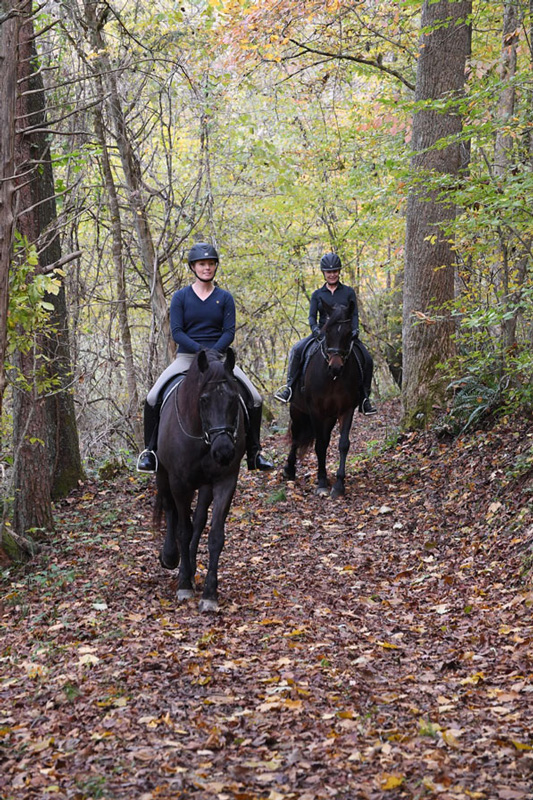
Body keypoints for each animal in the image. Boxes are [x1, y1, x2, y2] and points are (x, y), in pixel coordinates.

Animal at [154, 348, 246, 612]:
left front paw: (209, 593)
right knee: (170, 510)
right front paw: (184, 583)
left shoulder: (226, 480)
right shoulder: (179, 482)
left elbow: (214, 535)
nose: (224, 452)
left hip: (205, 485)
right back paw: (171, 557)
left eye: (234, 399)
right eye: (203, 400)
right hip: (164, 476)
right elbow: (182, 530)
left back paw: (191, 567)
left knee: (199, 520)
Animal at [282, 300, 365, 498]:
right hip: (297, 411)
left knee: (323, 438)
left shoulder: (346, 410)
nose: (335, 367)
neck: (332, 379)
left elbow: (343, 444)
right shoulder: (315, 411)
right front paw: (321, 483)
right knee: (296, 437)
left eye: (349, 333)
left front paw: (339, 485)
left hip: (330, 417)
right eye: (326, 332)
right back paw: (289, 470)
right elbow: (319, 445)